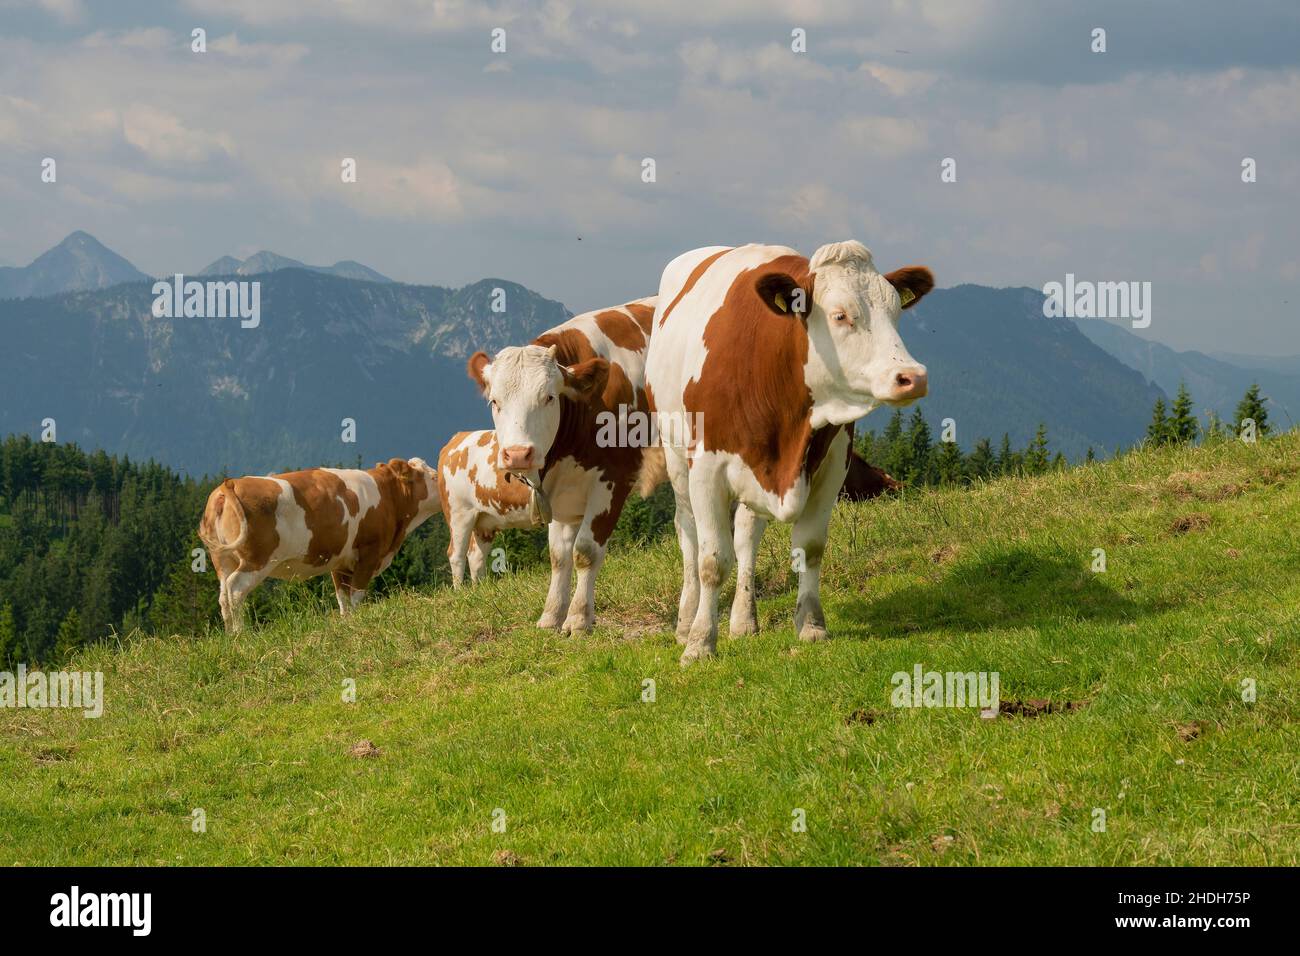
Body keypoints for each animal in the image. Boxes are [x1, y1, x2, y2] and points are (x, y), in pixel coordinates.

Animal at [198, 458, 441, 633]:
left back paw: (230, 635)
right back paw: (241, 633)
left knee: (223, 595)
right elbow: (357, 595)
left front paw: (346, 621)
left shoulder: (340, 561)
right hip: (257, 559)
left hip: (223, 559)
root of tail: (229, 484)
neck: (386, 496)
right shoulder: (369, 553)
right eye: (434, 477)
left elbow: (342, 597)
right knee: (236, 589)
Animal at [438, 429, 541, 587]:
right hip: (459, 513)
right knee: (456, 554)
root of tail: (459, 436)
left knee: (475, 556)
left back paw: (480, 588)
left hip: (484, 521)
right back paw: (460, 590)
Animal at [466, 296, 664, 633]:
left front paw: (578, 618)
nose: (517, 454)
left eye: (548, 397)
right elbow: (559, 556)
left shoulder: (613, 480)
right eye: (494, 401)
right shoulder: (560, 493)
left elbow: (585, 551)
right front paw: (551, 615)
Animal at [645, 241, 932, 663]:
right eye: (840, 315)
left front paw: (811, 625)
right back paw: (684, 623)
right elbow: (712, 560)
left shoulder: (832, 466)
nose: (912, 377)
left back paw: (743, 620)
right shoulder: (707, 469)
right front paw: (699, 643)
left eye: (896, 311)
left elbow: (809, 547)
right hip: (676, 456)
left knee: (747, 535)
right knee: (689, 534)